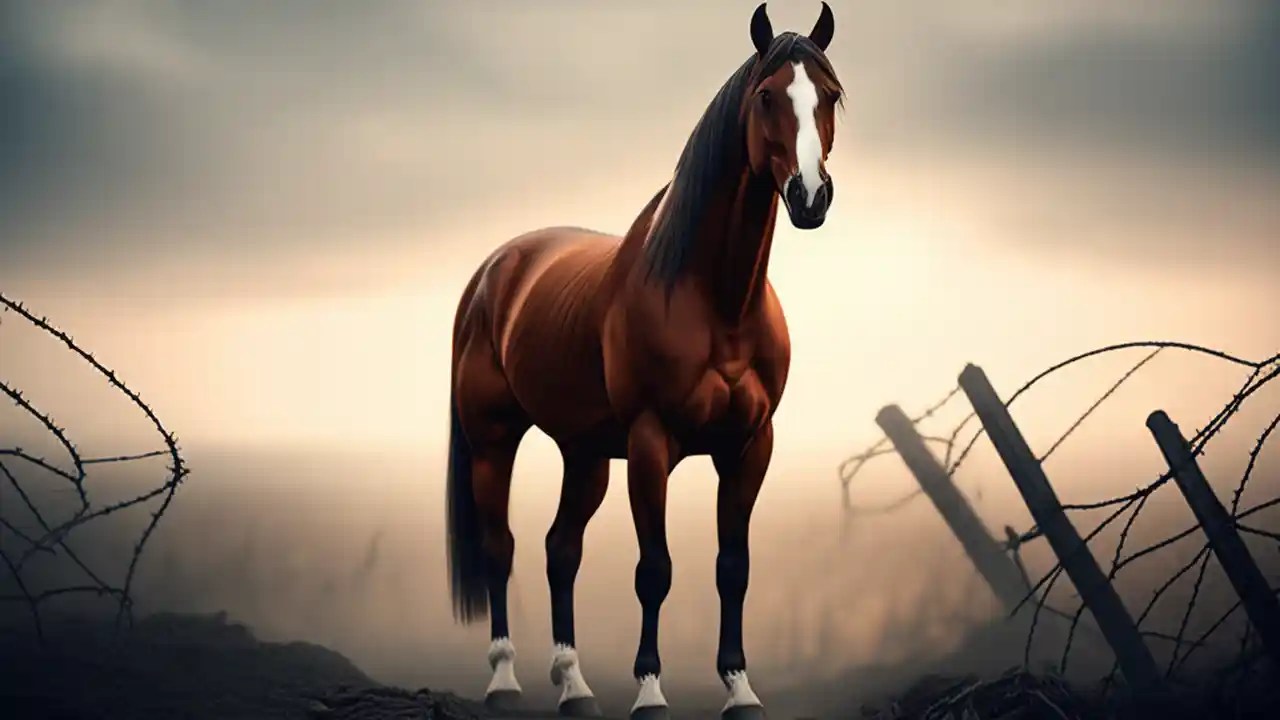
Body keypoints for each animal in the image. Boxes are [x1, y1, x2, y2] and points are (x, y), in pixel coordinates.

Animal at [445, 4, 843, 718]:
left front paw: (740, 688)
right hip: (494, 442)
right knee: (501, 548)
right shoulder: (652, 443)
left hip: (585, 454)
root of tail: (494, 269)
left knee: (560, 549)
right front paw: (650, 690)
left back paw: (574, 685)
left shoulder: (750, 445)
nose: (810, 197)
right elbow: (654, 570)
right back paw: (504, 680)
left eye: (829, 95)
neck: (717, 301)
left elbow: (733, 567)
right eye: (767, 96)